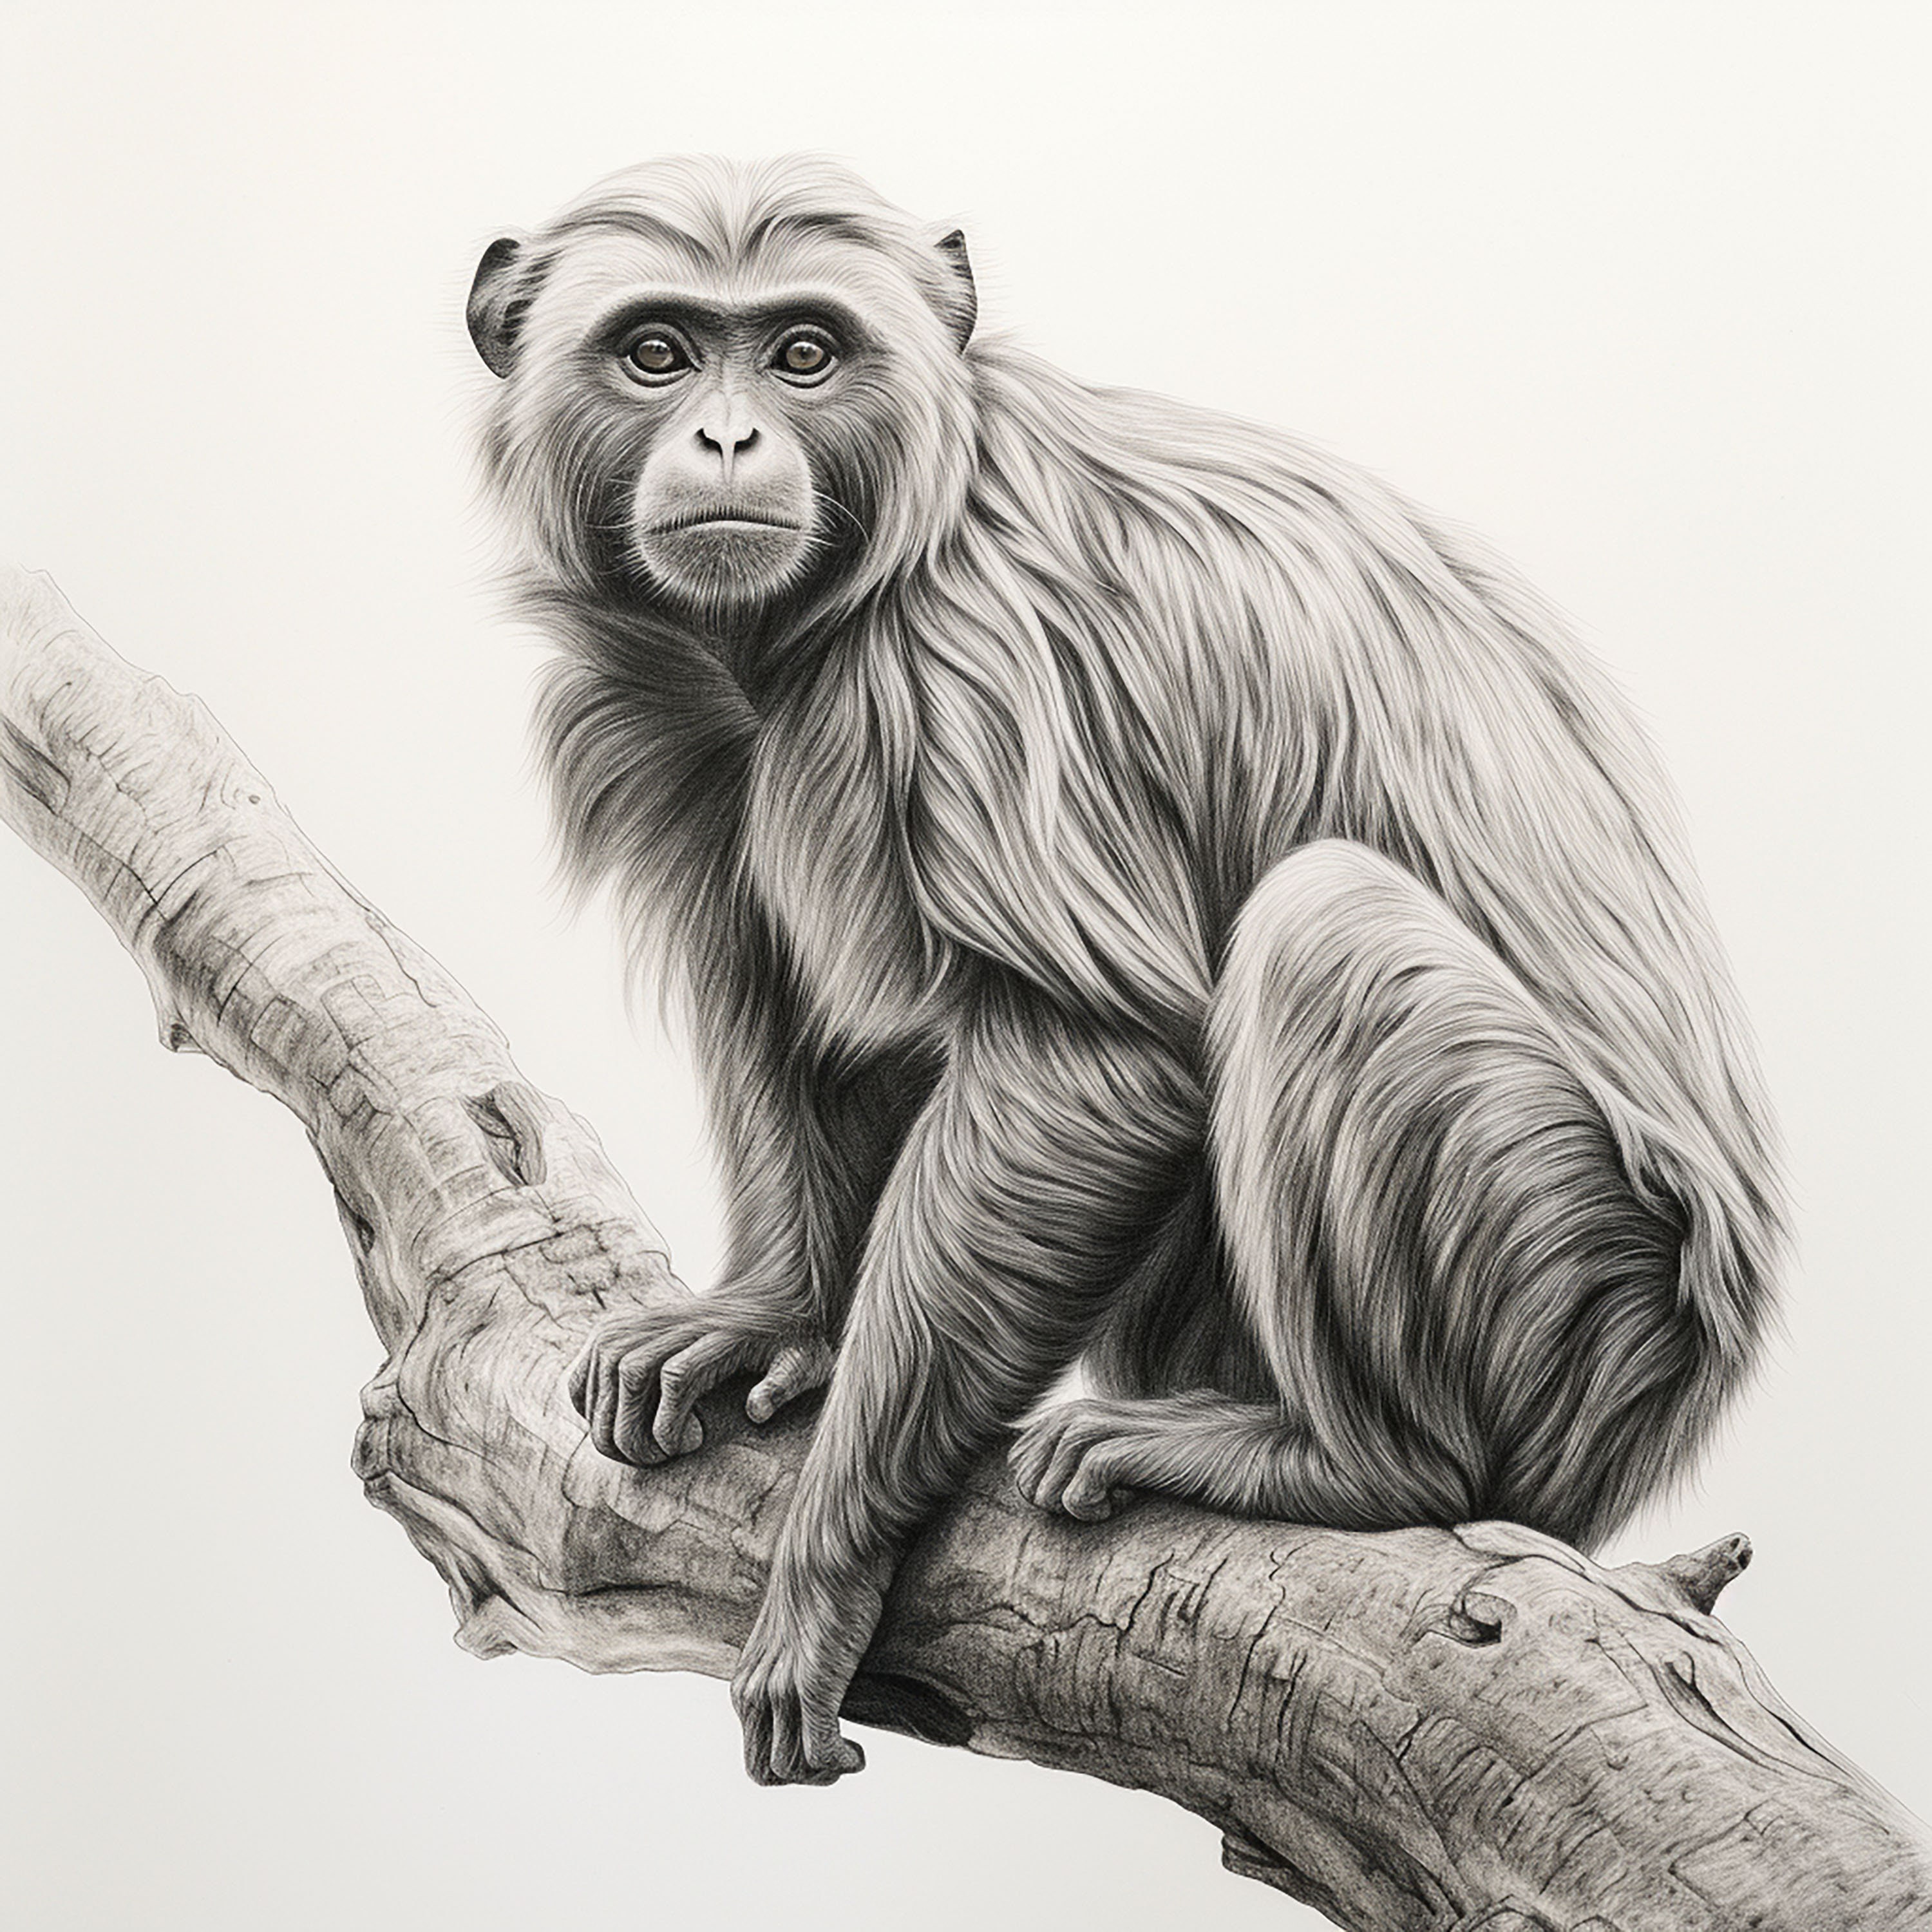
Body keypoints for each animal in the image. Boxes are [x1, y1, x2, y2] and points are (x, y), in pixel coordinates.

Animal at [465, 155, 1784, 1788]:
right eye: (658, 353)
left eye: (801, 354)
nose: (725, 436)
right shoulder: (672, 712)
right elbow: (779, 989)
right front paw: (775, 1313)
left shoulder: (972, 665)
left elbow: (1092, 1062)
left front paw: (828, 1559)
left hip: (1585, 1314)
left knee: (1324, 930)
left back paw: (1359, 1463)